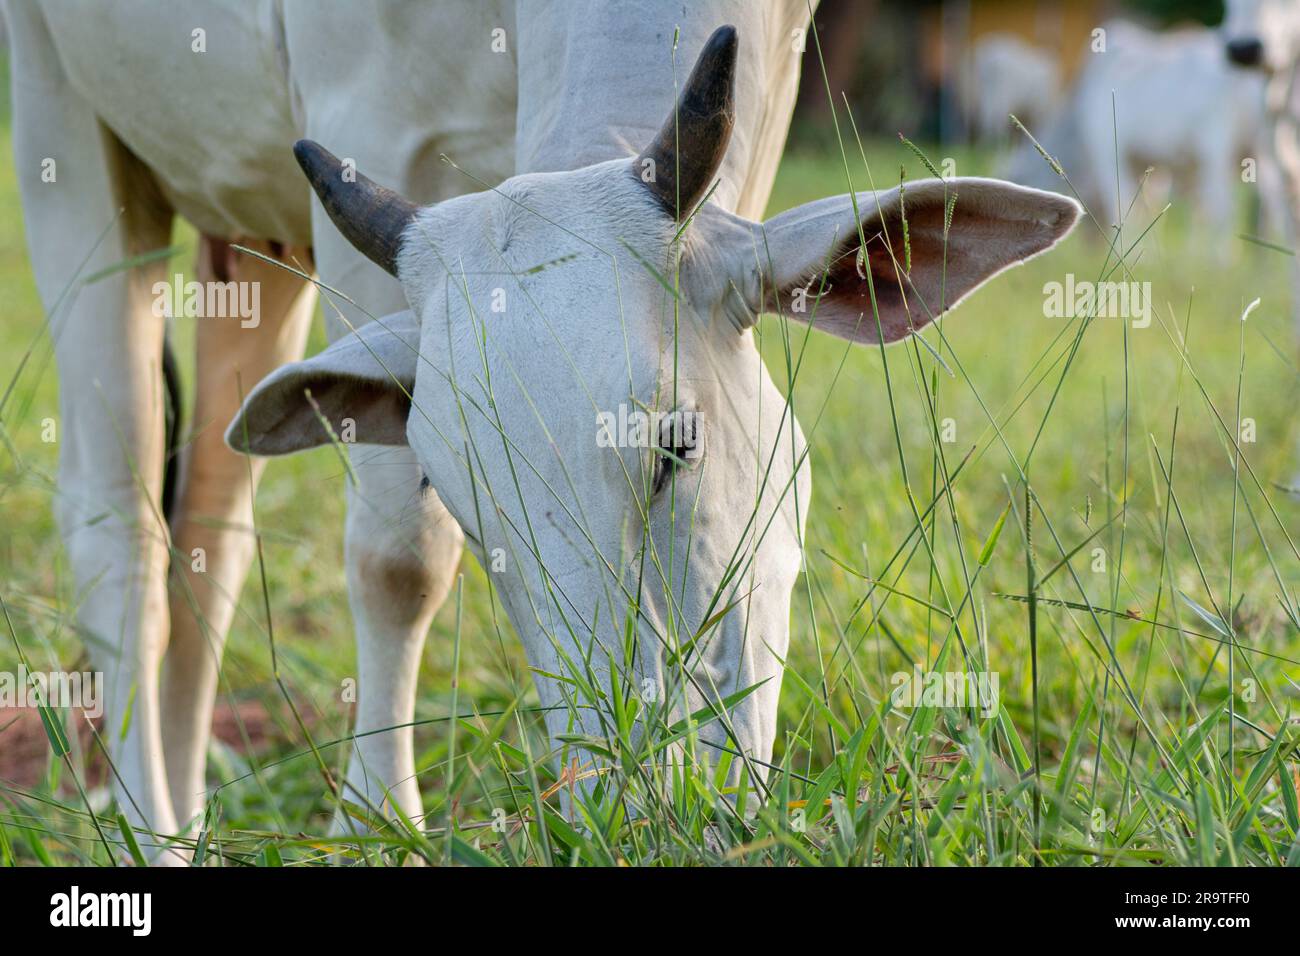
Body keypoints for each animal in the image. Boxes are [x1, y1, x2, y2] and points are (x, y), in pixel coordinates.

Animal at [5, 0, 1080, 863]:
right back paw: (148, 830)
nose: (640, 811)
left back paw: (184, 819)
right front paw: (378, 824)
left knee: (210, 534)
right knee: (118, 531)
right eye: (469, 505)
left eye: (676, 446)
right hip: (64, 131)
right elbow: (397, 560)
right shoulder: (369, 119)